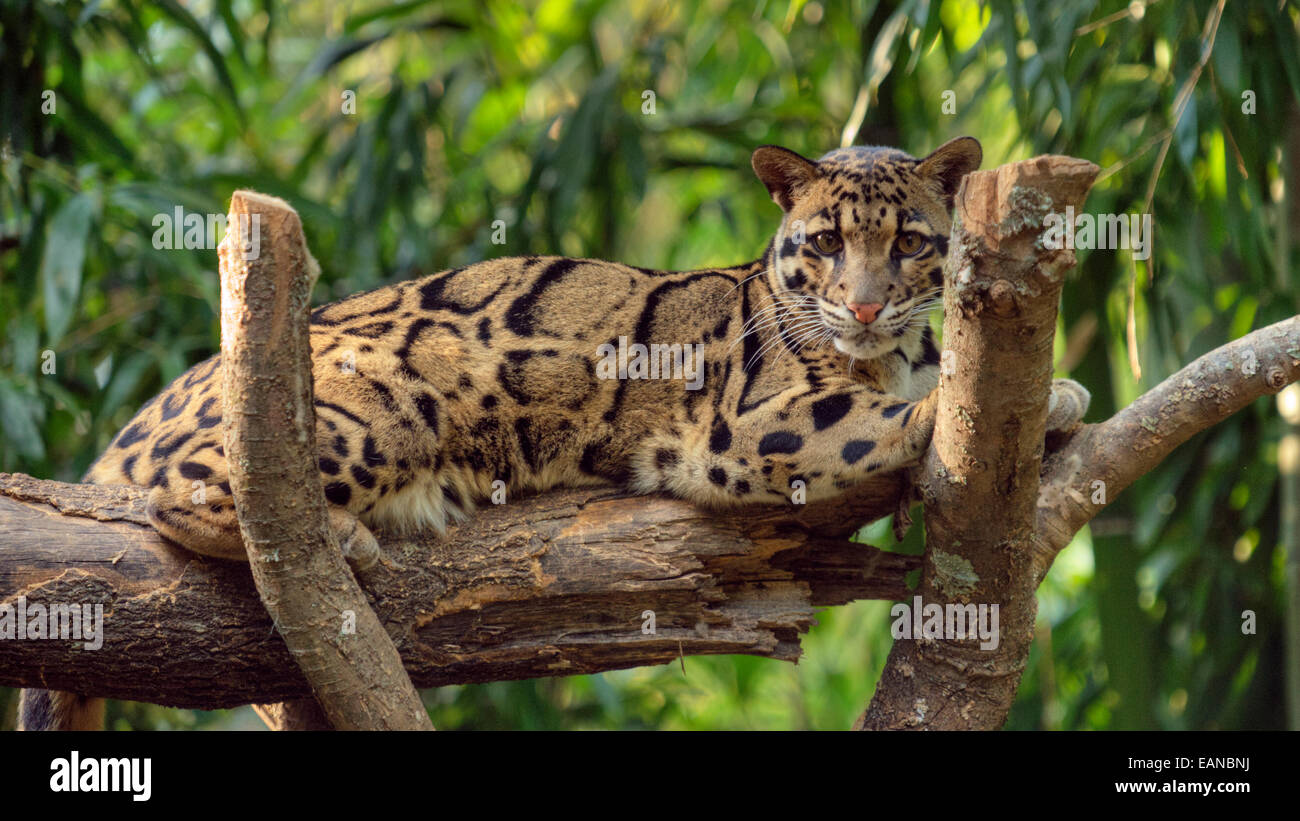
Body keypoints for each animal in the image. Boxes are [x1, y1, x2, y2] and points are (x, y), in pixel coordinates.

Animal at [18, 136, 1090, 730]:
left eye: (908, 242)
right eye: (825, 243)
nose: (864, 308)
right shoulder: (747, 427)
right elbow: (878, 421)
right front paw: (1025, 399)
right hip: (367, 402)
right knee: (189, 487)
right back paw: (341, 535)